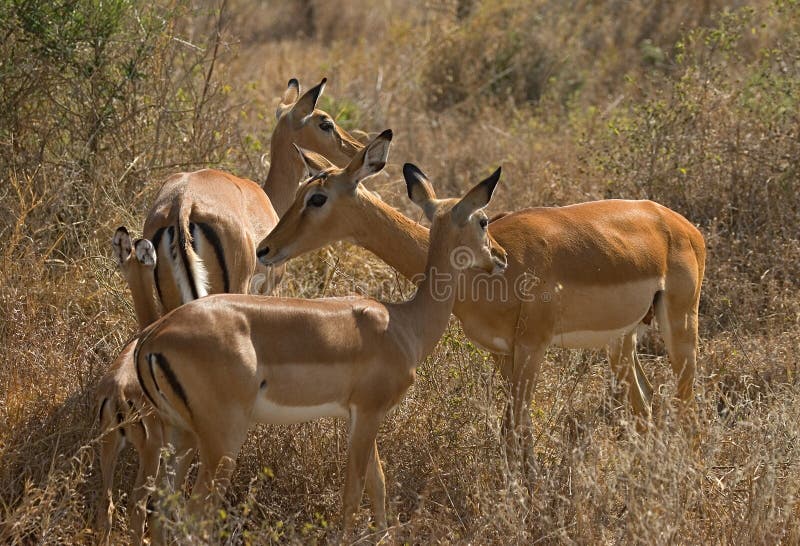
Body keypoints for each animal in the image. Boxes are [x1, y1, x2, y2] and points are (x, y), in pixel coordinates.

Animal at [133, 131, 508, 537]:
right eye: (483, 220)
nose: (499, 257)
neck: (402, 322)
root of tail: (153, 338)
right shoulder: (369, 412)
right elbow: (353, 493)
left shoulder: (358, 416)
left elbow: (378, 484)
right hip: (222, 441)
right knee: (196, 513)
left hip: (180, 434)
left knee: (159, 510)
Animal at [256, 144, 706, 455]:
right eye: (302, 190)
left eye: (318, 197)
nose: (264, 248)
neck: (484, 276)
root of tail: (681, 224)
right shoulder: (501, 351)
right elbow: (513, 428)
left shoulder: (533, 346)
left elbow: (516, 426)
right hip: (621, 340)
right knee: (647, 404)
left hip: (681, 325)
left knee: (686, 406)